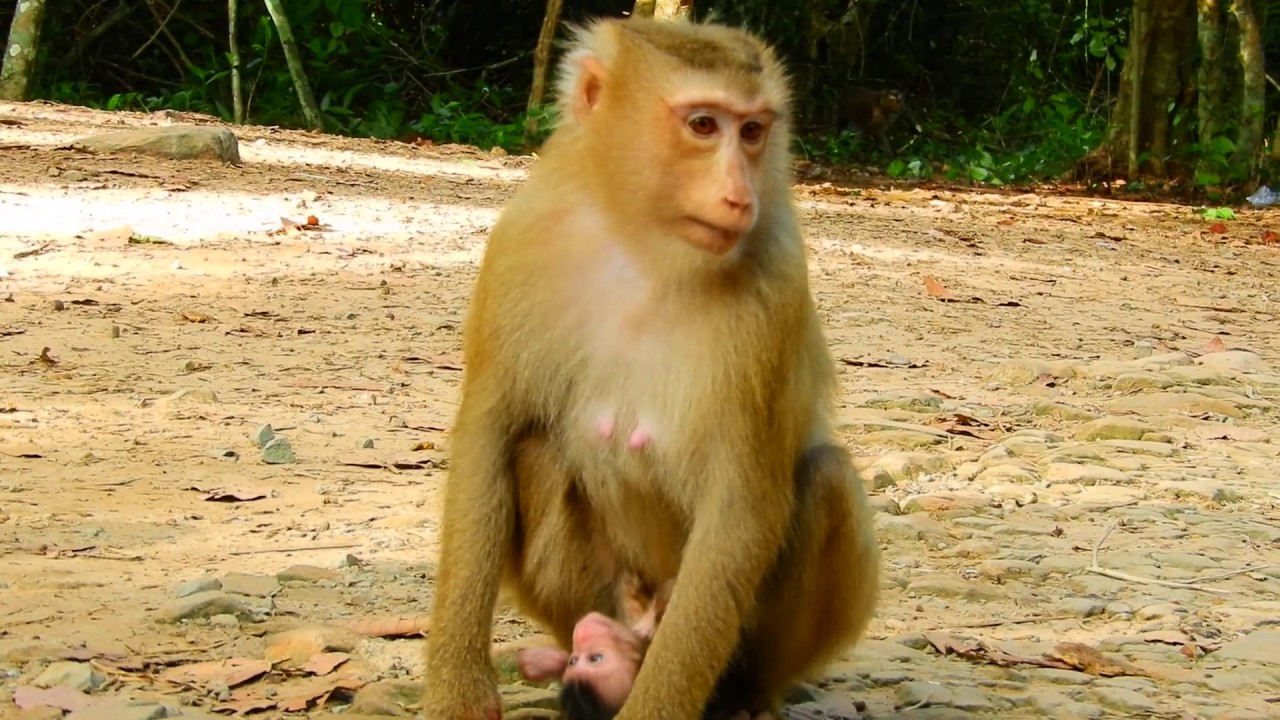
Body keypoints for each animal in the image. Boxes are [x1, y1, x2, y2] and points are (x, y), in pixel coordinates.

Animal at [420, 15, 881, 720]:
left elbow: (740, 506)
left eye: (753, 131)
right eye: (703, 125)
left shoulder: (775, 286)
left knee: (826, 480)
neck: (645, 244)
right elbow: (491, 432)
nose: (738, 195)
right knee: (535, 451)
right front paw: (459, 686)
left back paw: (743, 695)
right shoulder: (519, 244)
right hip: (609, 603)